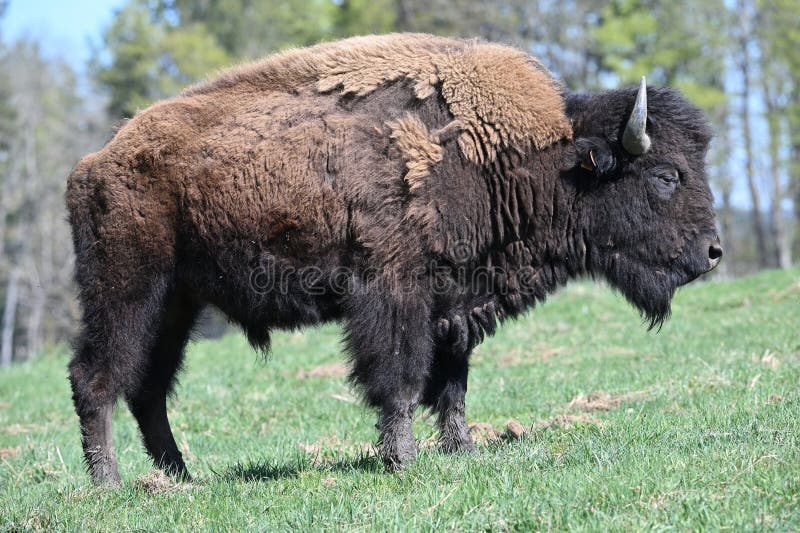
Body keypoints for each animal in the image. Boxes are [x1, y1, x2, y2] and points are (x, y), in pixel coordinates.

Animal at [65, 33, 720, 485]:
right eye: (666, 174)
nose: (712, 253)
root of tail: (94, 164)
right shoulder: (395, 293)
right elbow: (401, 377)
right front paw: (402, 459)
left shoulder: (454, 303)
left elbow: (452, 383)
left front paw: (462, 448)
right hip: (126, 293)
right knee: (95, 377)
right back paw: (113, 485)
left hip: (177, 305)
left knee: (148, 388)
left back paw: (181, 477)